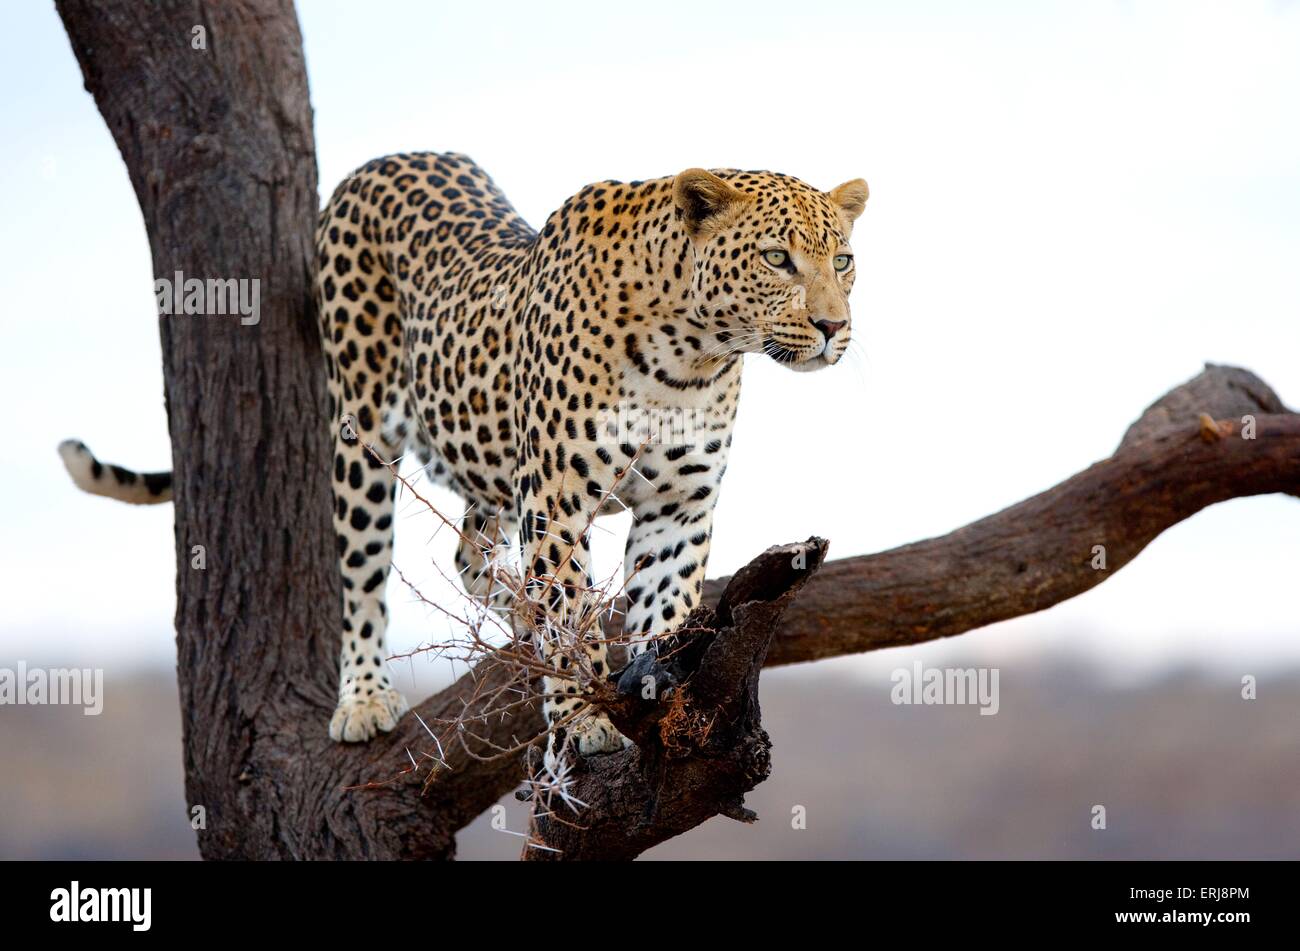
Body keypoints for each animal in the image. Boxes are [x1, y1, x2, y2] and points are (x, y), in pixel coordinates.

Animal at [59, 152, 868, 760]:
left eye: (844, 260)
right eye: (777, 258)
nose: (834, 327)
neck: (693, 354)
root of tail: (376, 164)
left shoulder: (679, 505)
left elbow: (663, 604)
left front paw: (659, 690)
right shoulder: (558, 500)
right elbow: (569, 611)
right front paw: (582, 718)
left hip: (494, 468)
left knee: (469, 553)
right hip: (365, 440)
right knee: (363, 577)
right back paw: (364, 698)